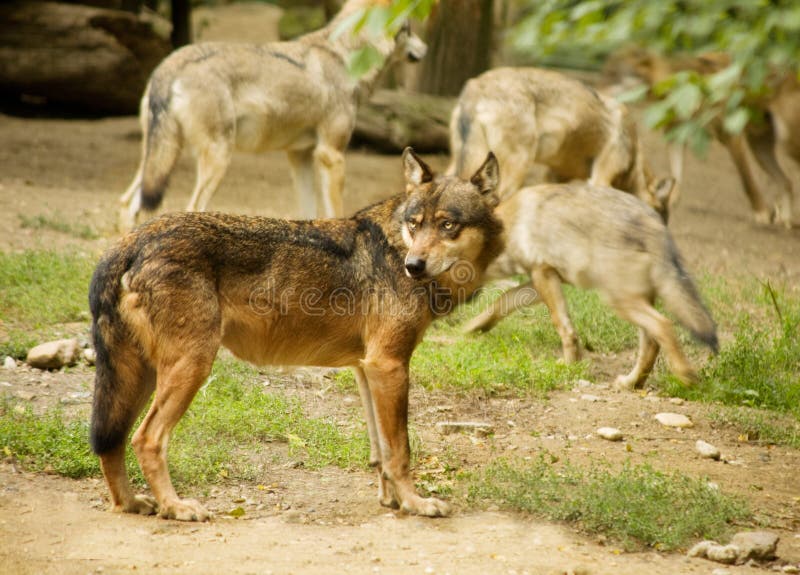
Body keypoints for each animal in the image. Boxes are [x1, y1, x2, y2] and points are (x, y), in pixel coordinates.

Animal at [90, 148, 503, 521]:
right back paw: (175, 508)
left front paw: (392, 501)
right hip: (190, 367)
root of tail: (130, 240)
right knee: (146, 439)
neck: (394, 245)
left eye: (447, 225)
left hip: (141, 376)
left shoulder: (368, 369)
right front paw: (416, 504)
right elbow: (399, 451)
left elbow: (381, 451)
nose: (413, 265)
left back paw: (131, 503)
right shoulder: (389, 365)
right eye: (415, 224)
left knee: (112, 440)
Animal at [118, 0, 427, 230]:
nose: (424, 49)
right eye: (410, 29)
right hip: (217, 158)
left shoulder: (299, 155)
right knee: (189, 207)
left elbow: (308, 212)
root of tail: (170, 64)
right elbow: (335, 212)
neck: (346, 57)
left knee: (128, 204)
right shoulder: (332, 155)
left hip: (157, 161)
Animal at [463, 181, 718, 389]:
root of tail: (655, 226)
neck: (508, 227)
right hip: (637, 303)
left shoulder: (542, 274)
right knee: (653, 342)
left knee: (664, 326)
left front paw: (567, 366)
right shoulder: (542, 278)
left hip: (620, 302)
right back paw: (632, 383)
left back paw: (686, 377)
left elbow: (564, 328)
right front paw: (472, 328)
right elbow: (502, 302)